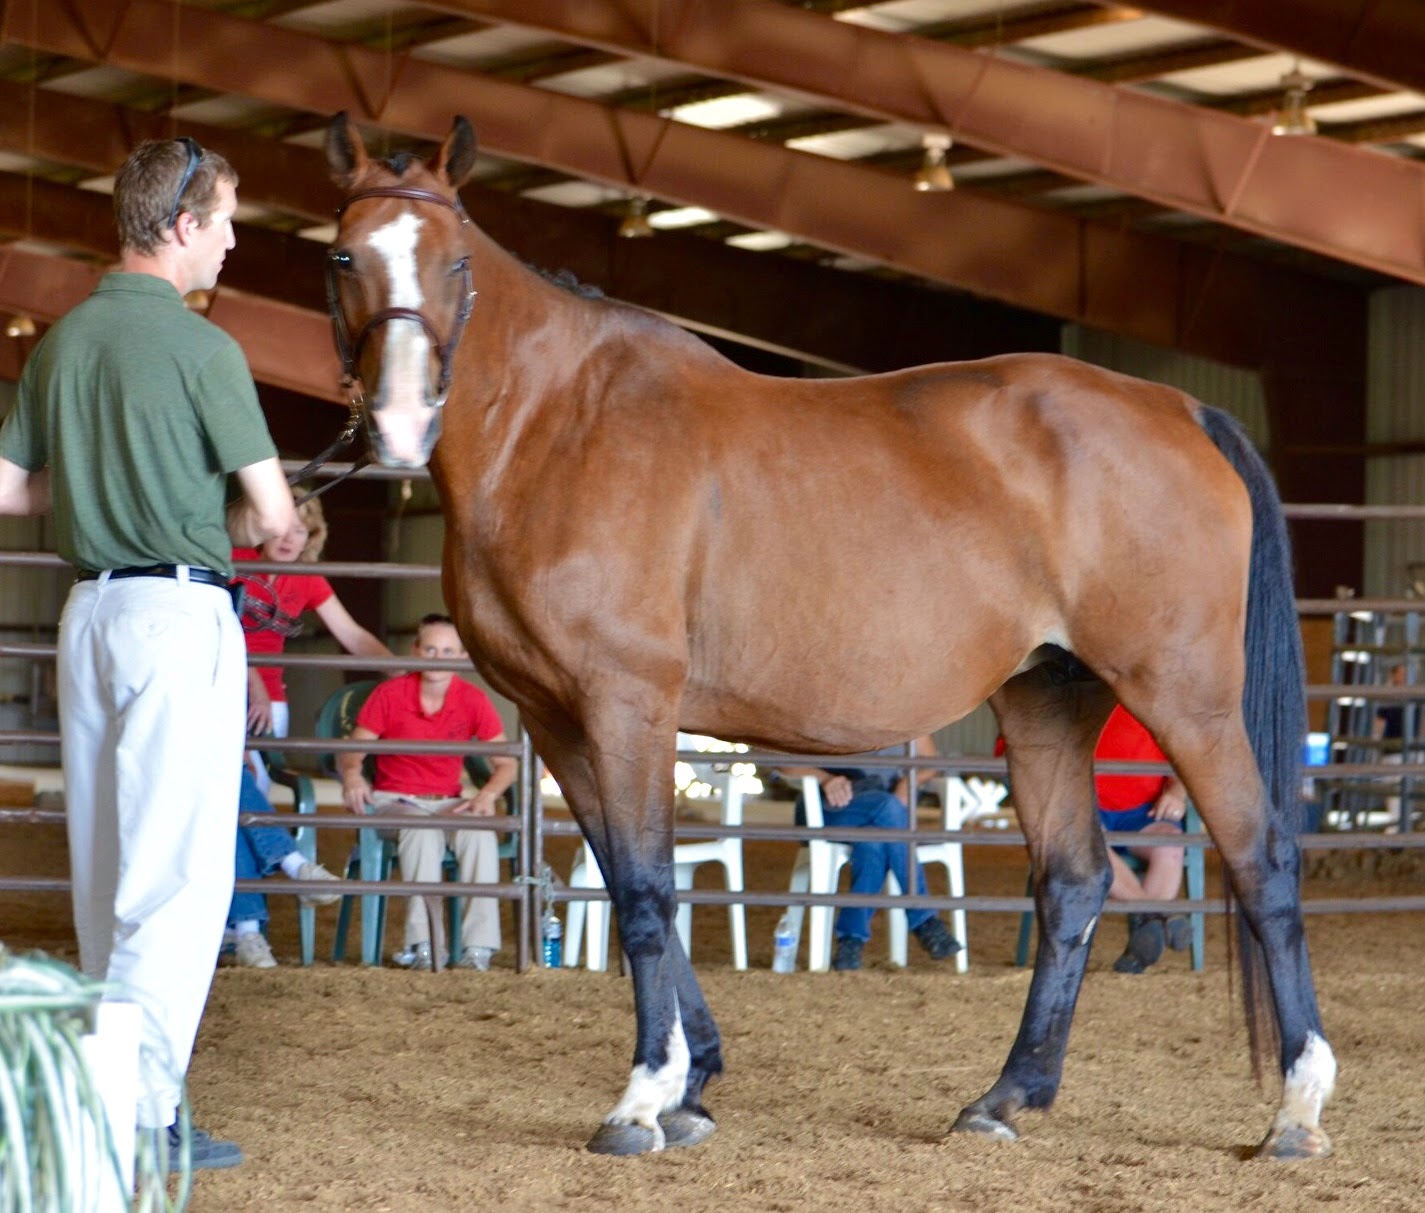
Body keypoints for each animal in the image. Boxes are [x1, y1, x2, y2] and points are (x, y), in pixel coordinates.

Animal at [321, 111, 1334, 1161]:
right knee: (1074, 881)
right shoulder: (557, 720)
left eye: (453, 262)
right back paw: (1004, 1095)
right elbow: (629, 884)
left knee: (1261, 858)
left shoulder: (626, 704)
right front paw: (694, 1081)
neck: (559, 427)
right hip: (1047, 698)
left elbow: (645, 892)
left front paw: (644, 1097)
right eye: (343, 255)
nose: (398, 421)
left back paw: (1295, 1108)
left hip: (1184, 697)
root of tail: (1181, 408)